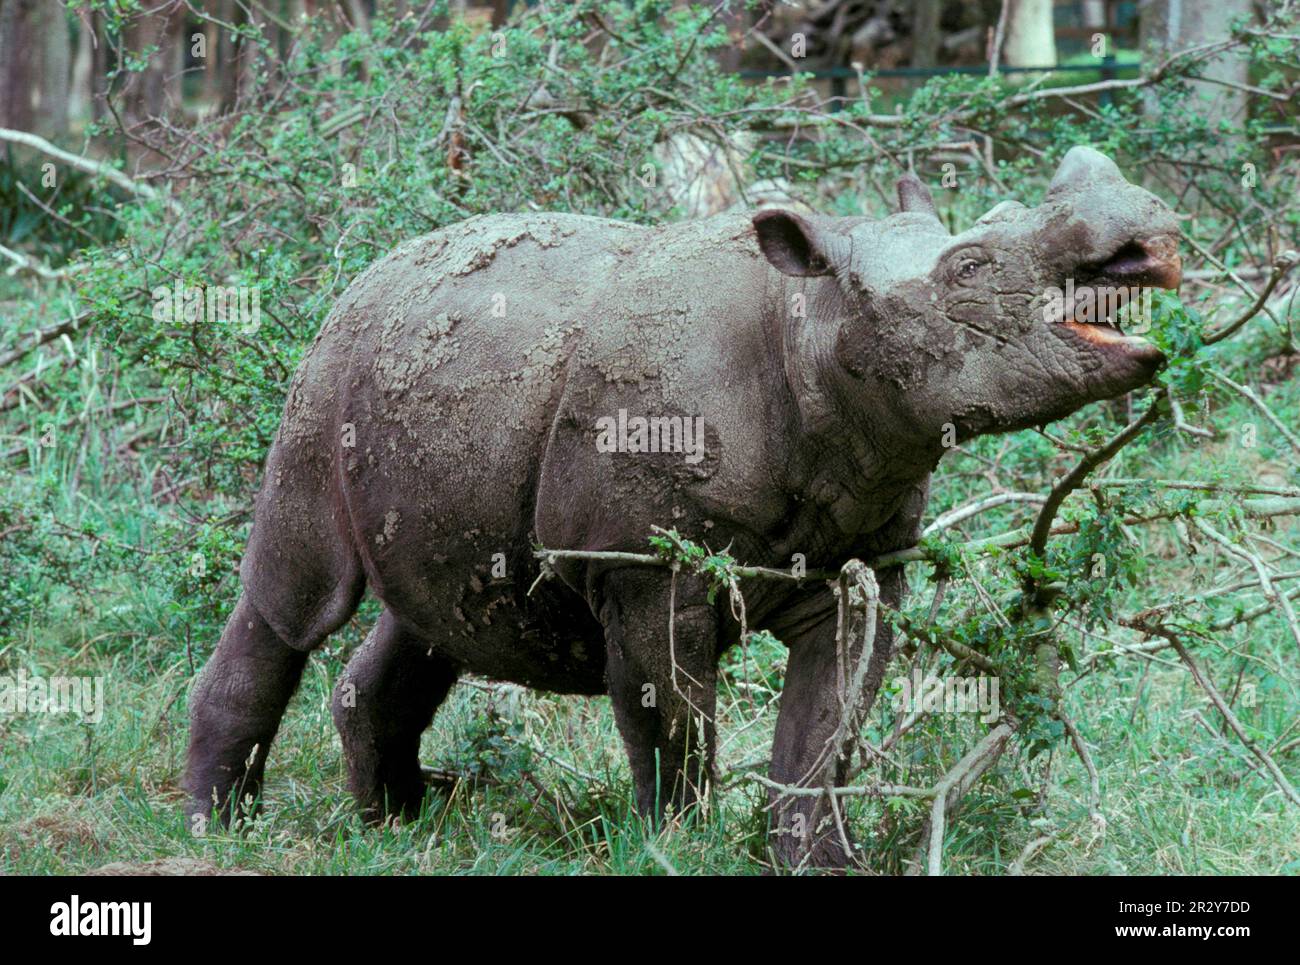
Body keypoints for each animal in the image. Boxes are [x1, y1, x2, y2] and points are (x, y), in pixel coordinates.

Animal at [185, 146, 1181, 867]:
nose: (1145, 226)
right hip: (326, 380)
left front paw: (824, 860)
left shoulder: (865, 559)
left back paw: (398, 828)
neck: (813, 337)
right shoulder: (648, 568)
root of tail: (369, 274)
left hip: (437, 390)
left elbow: (828, 726)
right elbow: (672, 723)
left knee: (436, 612)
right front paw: (682, 846)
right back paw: (221, 827)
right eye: (970, 267)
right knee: (296, 595)